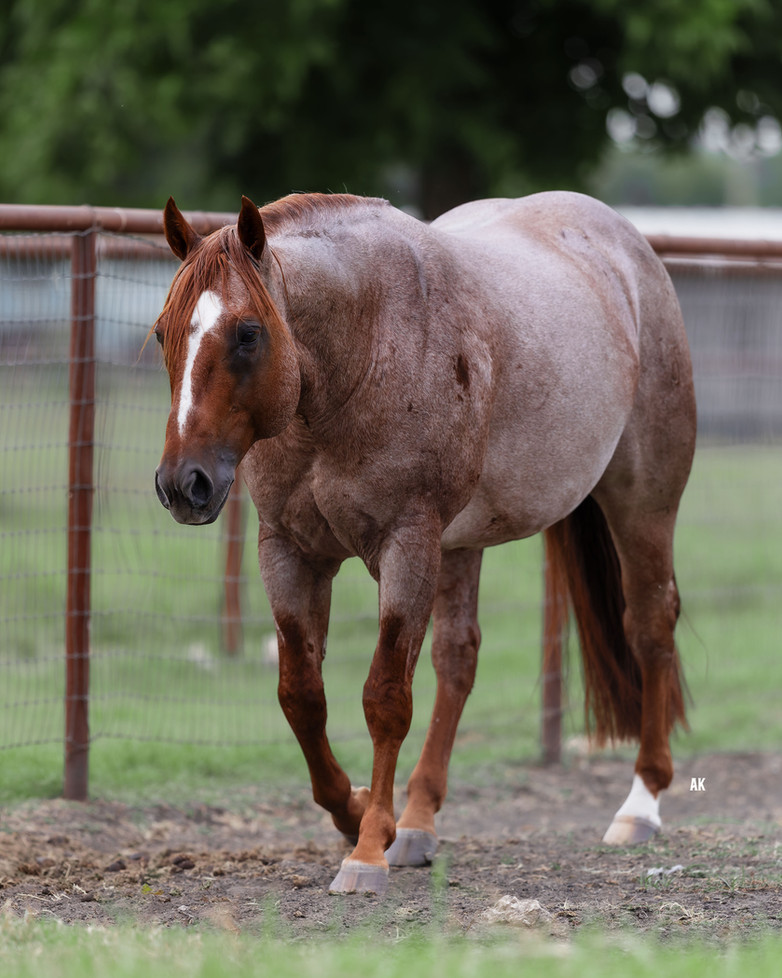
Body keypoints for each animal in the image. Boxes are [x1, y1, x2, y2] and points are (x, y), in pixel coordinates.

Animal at [153, 190, 696, 896]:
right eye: (162, 332)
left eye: (248, 333)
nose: (182, 484)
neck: (364, 351)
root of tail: (627, 247)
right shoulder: (290, 553)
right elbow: (302, 696)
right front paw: (356, 812)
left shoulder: (407, 545)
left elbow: (385, 697)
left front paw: (365, 853)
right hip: (460, 545)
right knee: (457, 658)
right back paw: (416, 822)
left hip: (642, 505)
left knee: (651, 627)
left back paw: (641, 806)